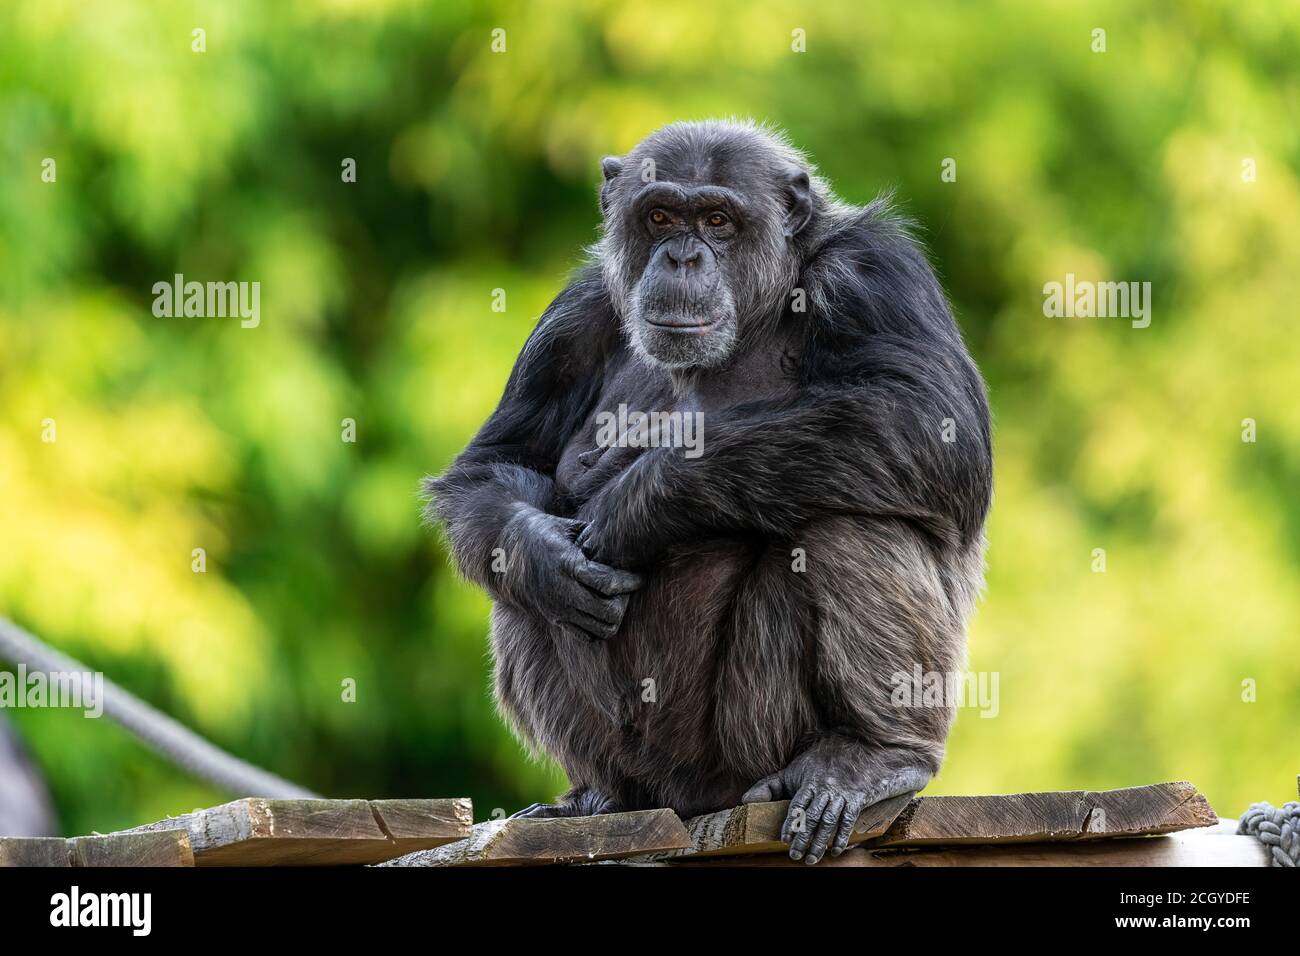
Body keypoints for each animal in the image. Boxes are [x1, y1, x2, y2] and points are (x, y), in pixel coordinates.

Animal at [427, 120, 992, 864]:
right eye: (661, 216)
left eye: (719, 220)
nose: (683, 257)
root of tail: (685, 800)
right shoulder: (571, 318)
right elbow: (492, 465)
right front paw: (544, 552)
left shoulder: (876, 276)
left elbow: (928, 420)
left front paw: (639, 502)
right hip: (639, 761)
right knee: (513, 582)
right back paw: (596, 794)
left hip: (747, 753)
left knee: (850, 517)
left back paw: (874, 756)